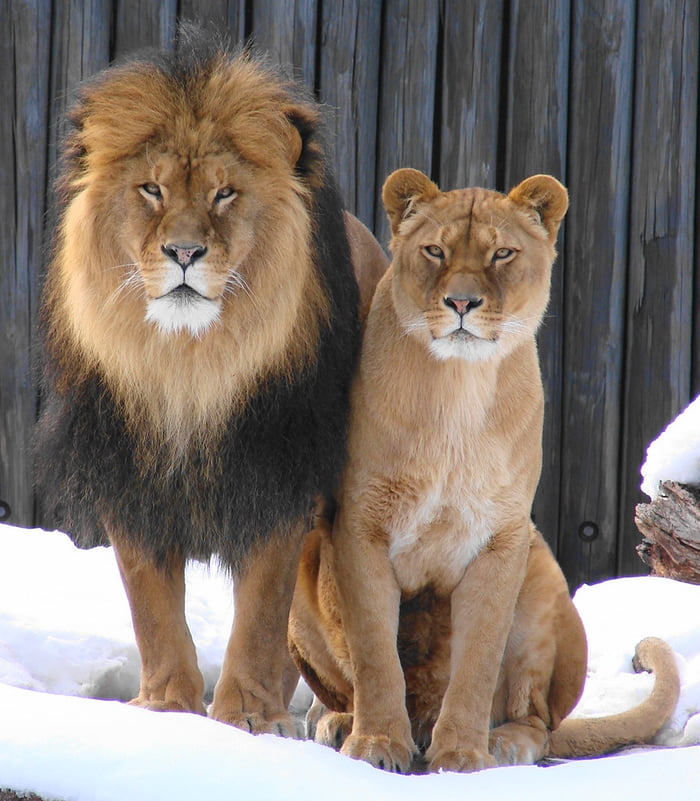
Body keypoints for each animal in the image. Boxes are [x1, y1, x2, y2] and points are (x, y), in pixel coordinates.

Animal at [34, 30, 387, 737]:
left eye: (225, 195)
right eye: (151, 190)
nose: (184, 253)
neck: (190, 366)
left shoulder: (279, 477)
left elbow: (262, 613)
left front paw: (247, 718)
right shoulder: (131, 477)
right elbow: (152, 610)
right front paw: (168, 708)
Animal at [288, 168, 680, 772]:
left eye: (502, 253)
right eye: (435, 250)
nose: (461, 302)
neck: (459, 388)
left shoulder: (502, 539)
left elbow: (477, 660)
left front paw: (462, 755)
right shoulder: (359, 528)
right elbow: (375, 654)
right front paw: (377, 744)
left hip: (542, 572)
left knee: (540, 723)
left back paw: (501, 744)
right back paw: (339, 723)